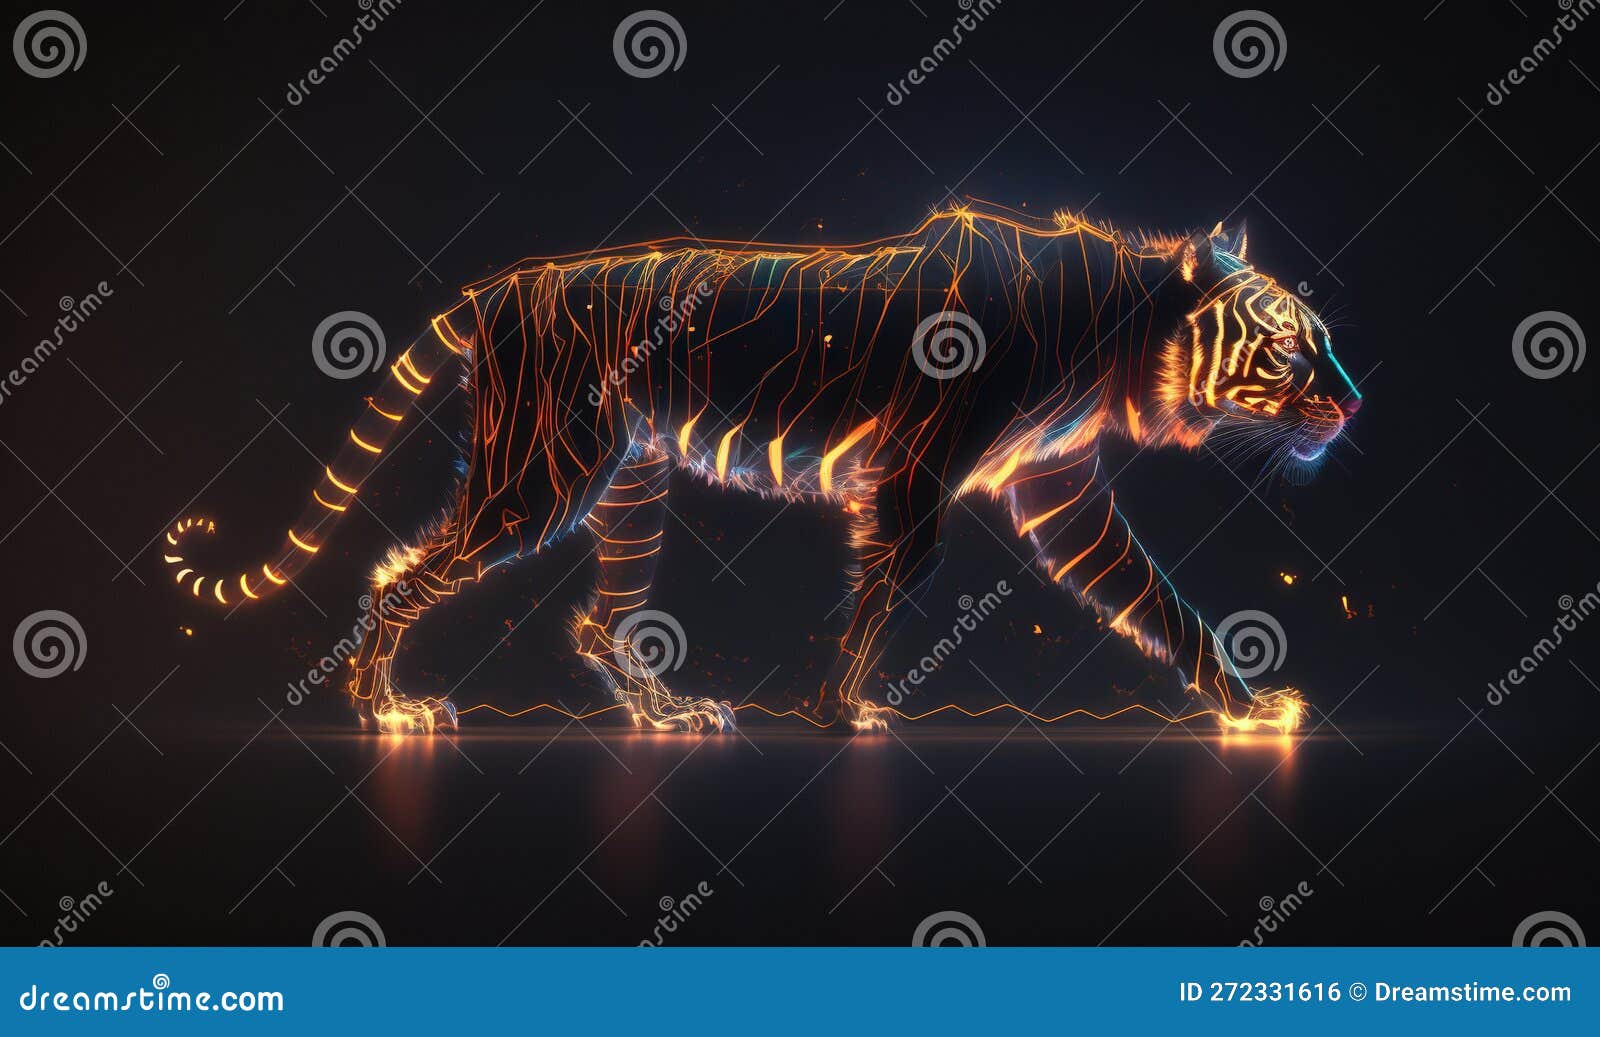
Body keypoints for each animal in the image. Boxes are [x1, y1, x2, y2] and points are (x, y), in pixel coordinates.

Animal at [164, 200, 1361, 735]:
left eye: (1323, 337)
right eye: (1290, 345)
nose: (1354, 402)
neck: (1120, 337)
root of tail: (501, 285)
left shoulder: (1061, 492)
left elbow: (1160, 601)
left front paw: (1250, 706)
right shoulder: (918, 474)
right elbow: (886, 585)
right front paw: (843, 708)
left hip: (629, 483)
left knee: (598, 616)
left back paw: (670, 713)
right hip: (543, 474)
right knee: (399, 575)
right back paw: (389, 707)